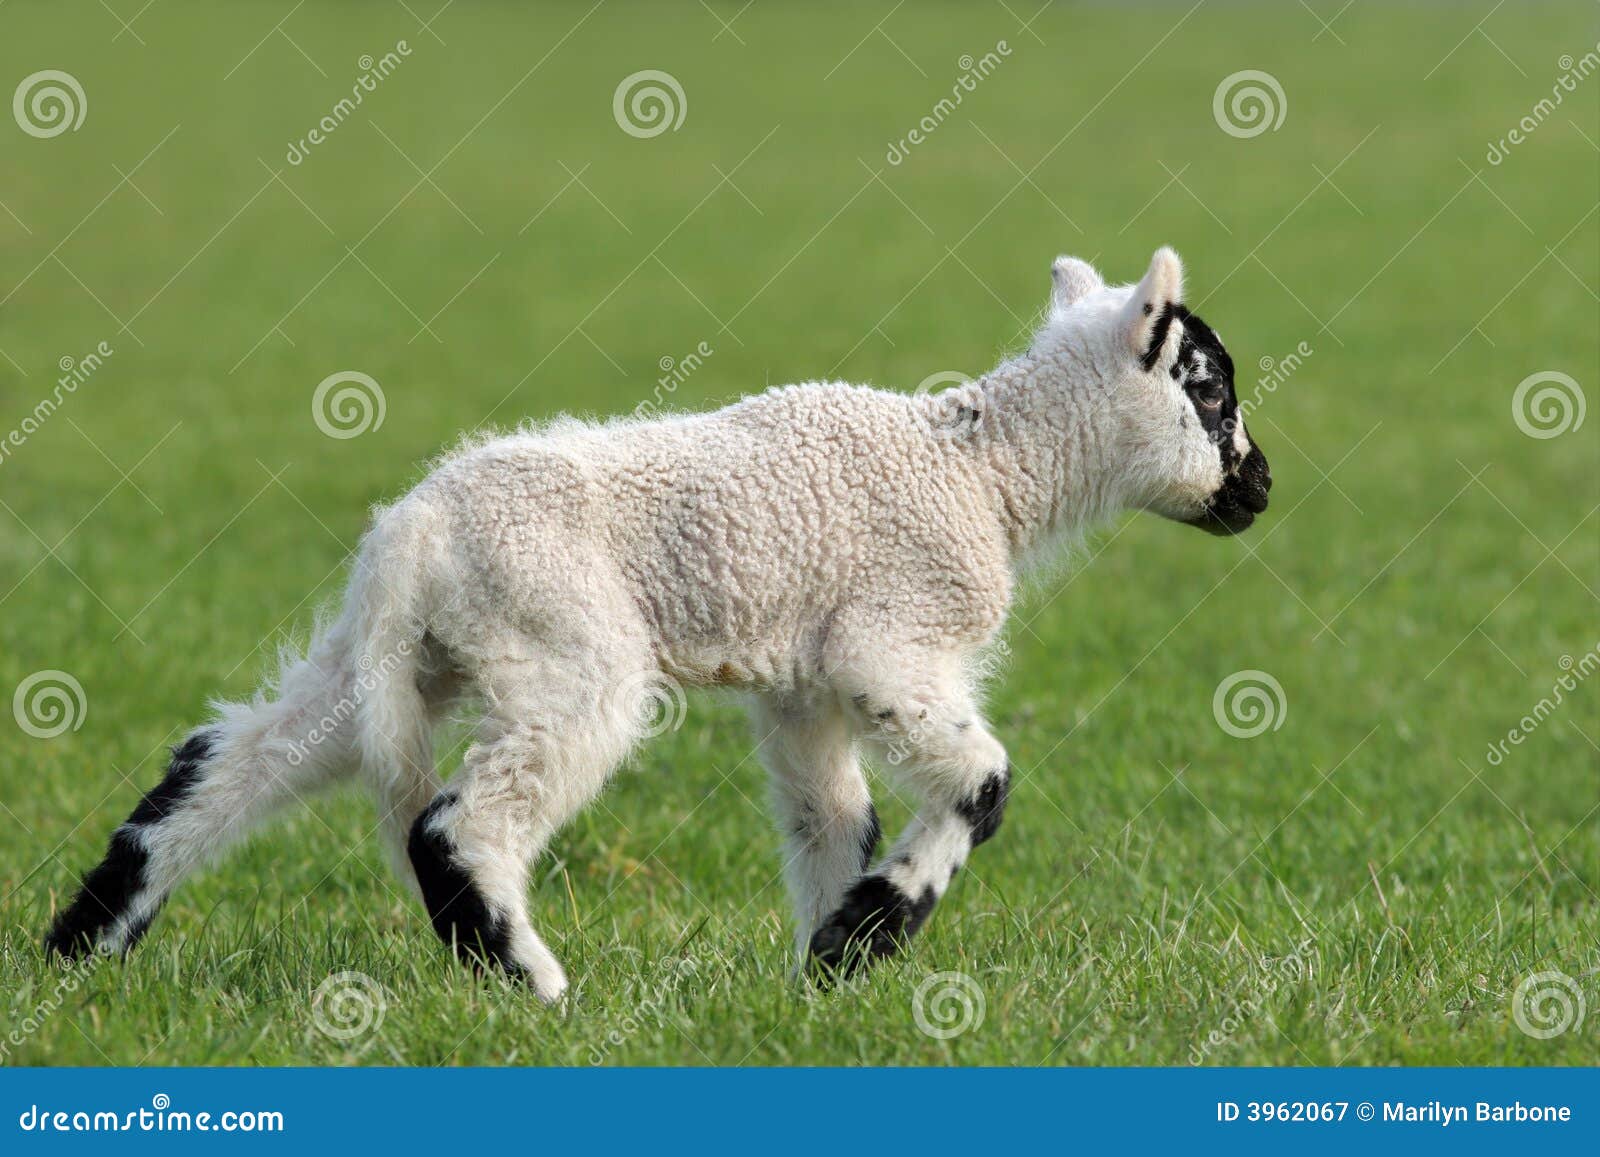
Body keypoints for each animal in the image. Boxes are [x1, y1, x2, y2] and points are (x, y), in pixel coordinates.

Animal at [43, 247, 1271, 1001]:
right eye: (1209, 388)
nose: (1259, 491)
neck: (989, 472)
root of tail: (412, 538)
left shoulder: (804, 685)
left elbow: (834, 820)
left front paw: (825, 971)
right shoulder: (889, 637)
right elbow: (981, 781)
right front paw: (869, 933)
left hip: (388, 663)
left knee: (221, 765)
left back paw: (79, 952)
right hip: (566, 649)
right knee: (457, 822)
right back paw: (530, 985)